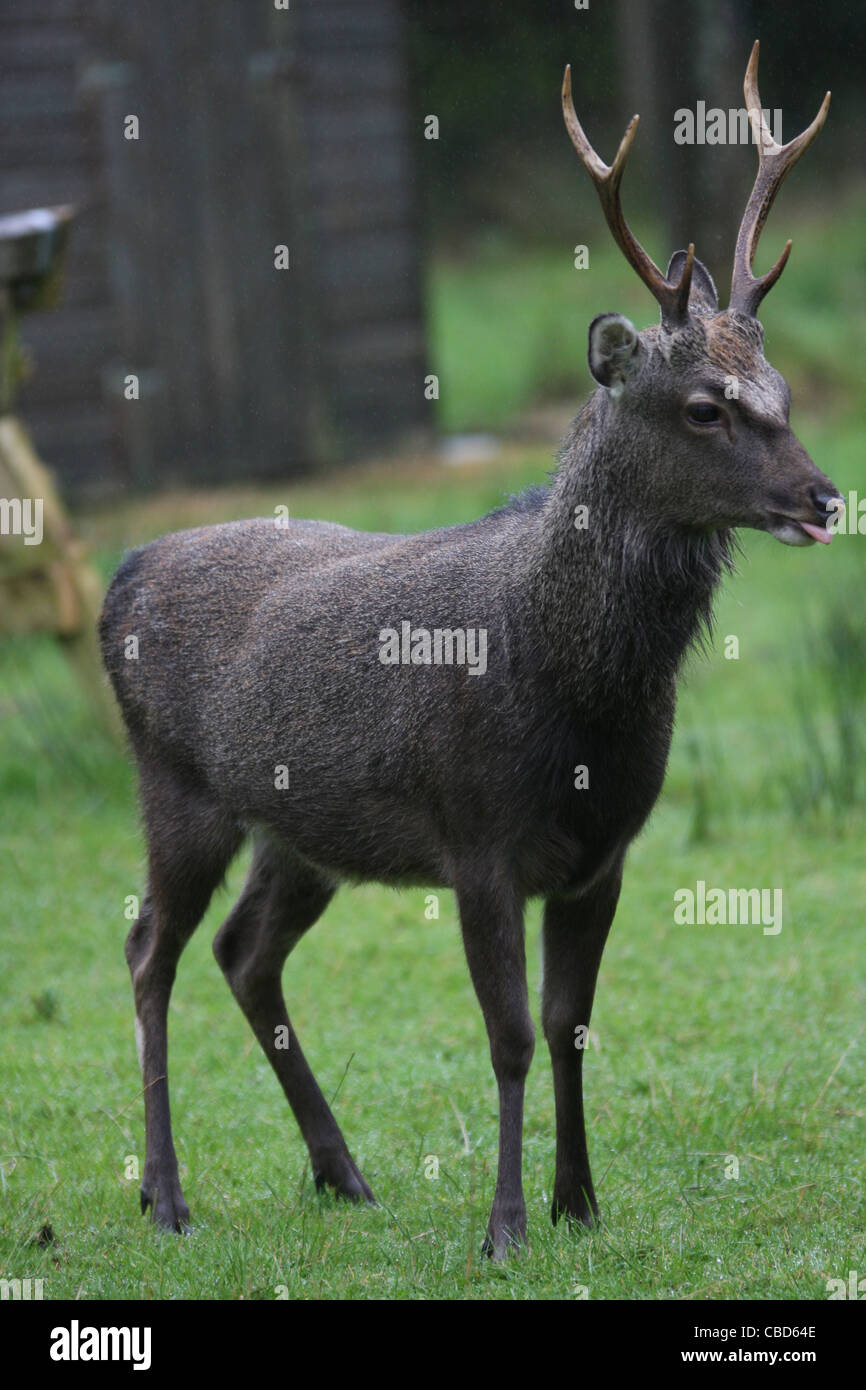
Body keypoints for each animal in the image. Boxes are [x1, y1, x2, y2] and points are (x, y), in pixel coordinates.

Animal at [100, 43, 839, 1258]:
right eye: (704, 407)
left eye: (780, 394)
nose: (825, 499)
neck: (575, 694)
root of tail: (123, 573)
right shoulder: (477, 835)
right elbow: (509, 1035)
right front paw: (505, 1226)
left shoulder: (604, 851)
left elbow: (572, 1021)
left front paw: (579, 1201)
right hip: (176, 788)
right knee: (149, 950)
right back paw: (166, 1197)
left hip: (299, 832)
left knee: (244, 953)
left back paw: (342, 1172)